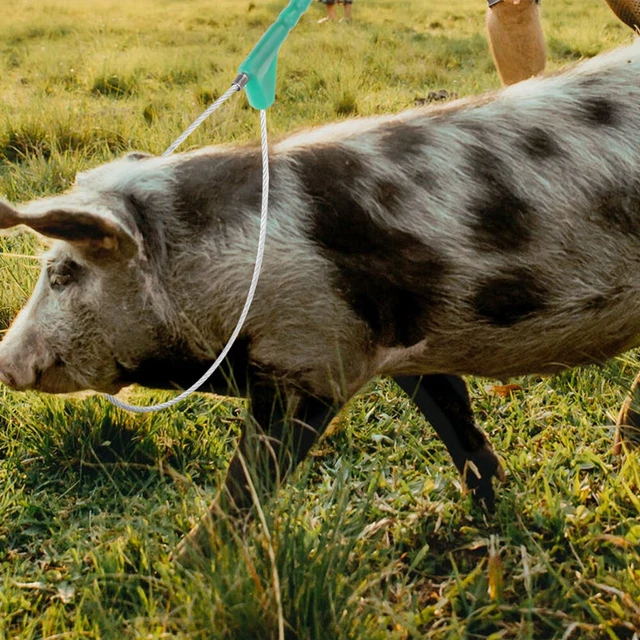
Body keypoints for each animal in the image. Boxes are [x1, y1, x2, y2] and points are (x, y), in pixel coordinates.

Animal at [1, 42, 640, 559]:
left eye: (62, 274)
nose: (5, 360)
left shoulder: (311, 355)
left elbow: (250, 480)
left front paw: (181, 565)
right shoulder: (402, 343)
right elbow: (451, 411)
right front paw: (489, 506)